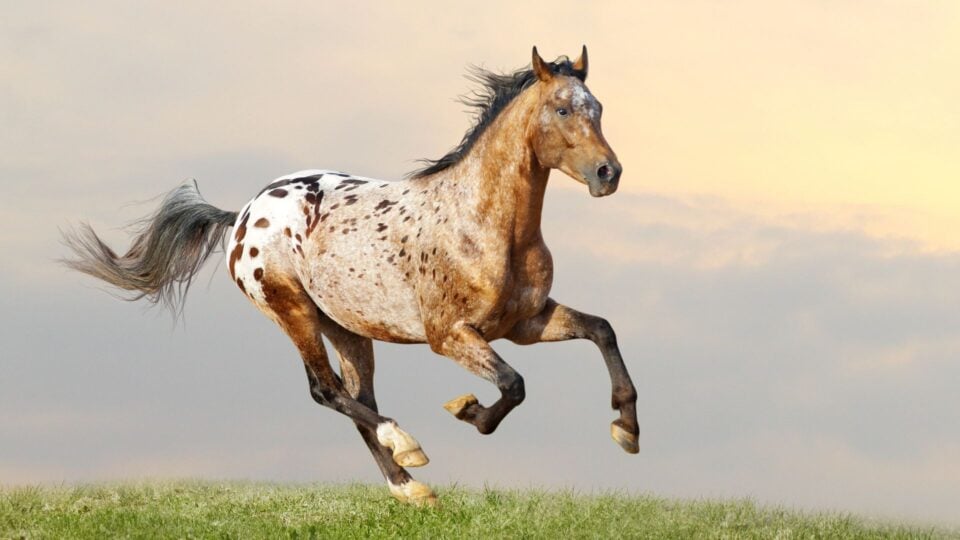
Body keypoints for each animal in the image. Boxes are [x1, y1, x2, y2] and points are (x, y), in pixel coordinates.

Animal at [62, 46, 638, 506]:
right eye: (561, 108)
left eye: (599, 109)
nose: (608, 173)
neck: (483, 225)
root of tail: (243, 214)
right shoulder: (450, 336)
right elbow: (513, 385)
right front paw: (468, 411)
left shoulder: (526, 323)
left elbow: (602, 330)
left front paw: (626, 428)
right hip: (291, 309)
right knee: (327, 391)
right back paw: (407, 448)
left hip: (347, 328)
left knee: (358, 398)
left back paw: (410, 487)